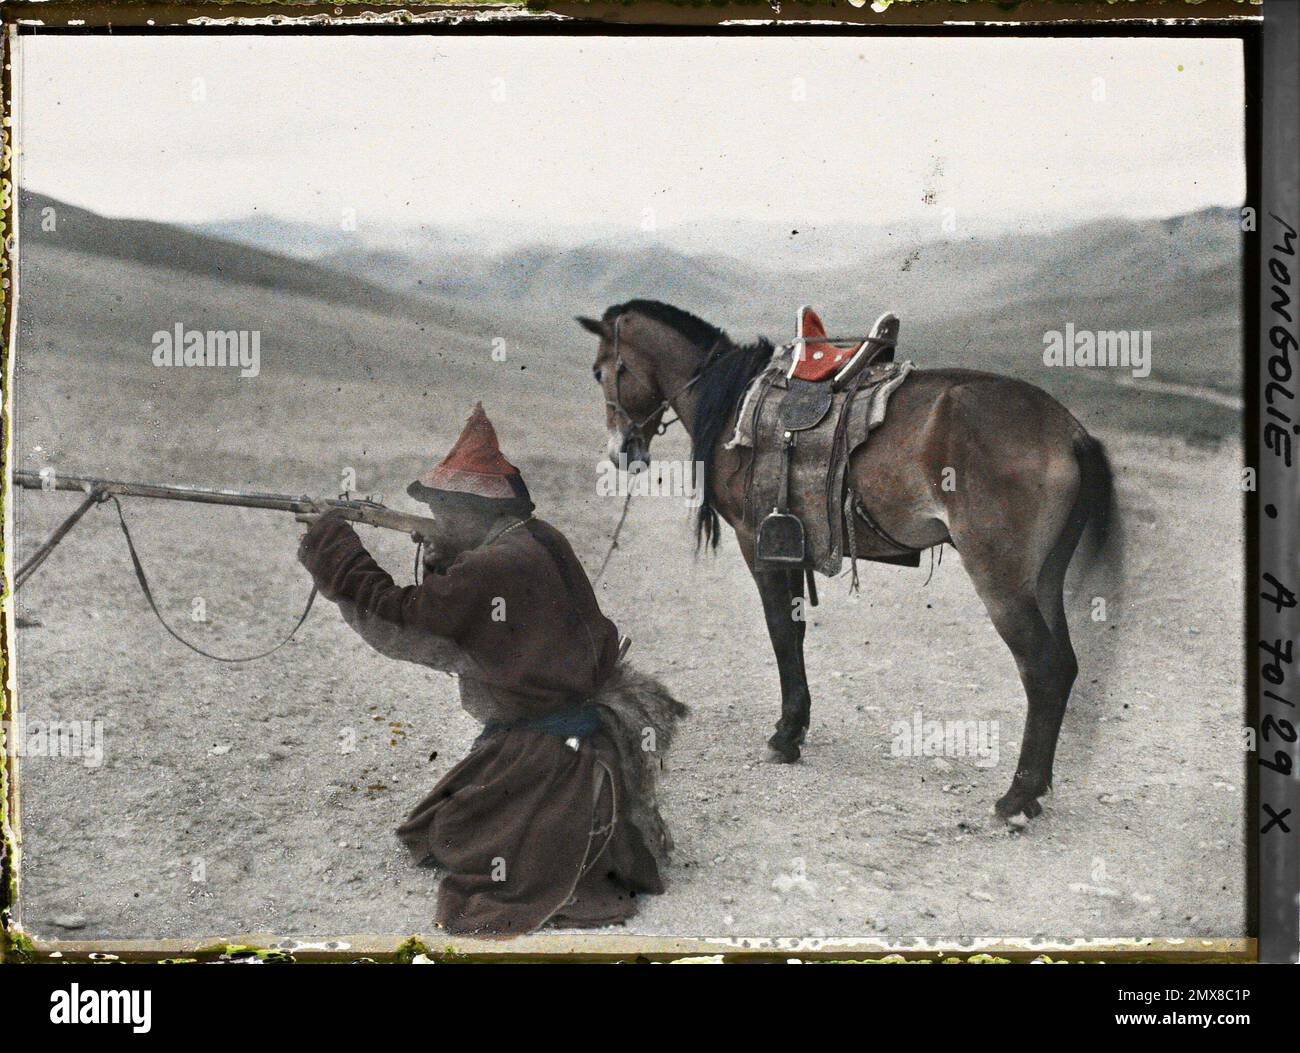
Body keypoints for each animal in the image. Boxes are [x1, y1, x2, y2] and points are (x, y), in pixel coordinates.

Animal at [577, 300, 1122, 824]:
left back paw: (1018, 797)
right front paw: (795, 726)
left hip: (1002, 581)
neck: (735, 403)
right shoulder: (789, 544)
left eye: (601, 371)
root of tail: (1070, 432)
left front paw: (785, 736)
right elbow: (795, 632)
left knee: (1043, 668)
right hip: (1045, 580)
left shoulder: (757, 541)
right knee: (1065, 666)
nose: (621, 450)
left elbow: (781, 632)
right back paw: (1036, 789)